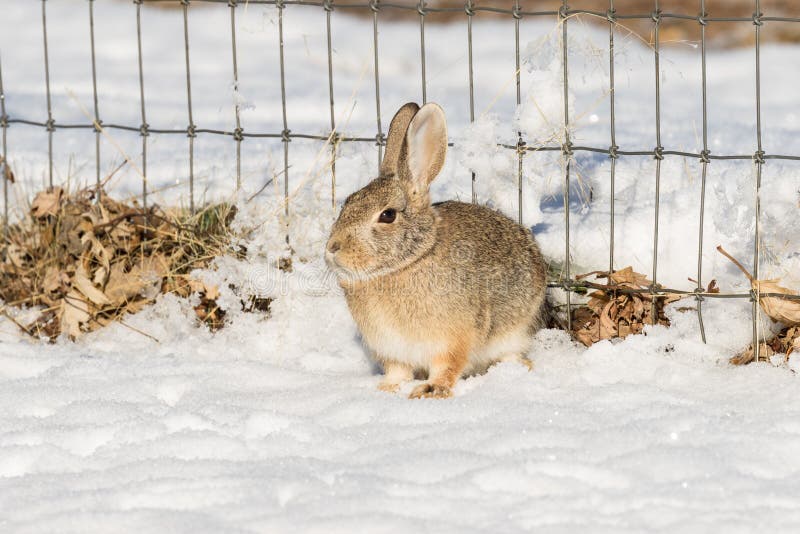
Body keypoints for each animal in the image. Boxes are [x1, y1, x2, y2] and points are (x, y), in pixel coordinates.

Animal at [325, 102, 547, 399]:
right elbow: (398, 371)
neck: (408, 261)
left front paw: (430, 390)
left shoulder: (453, 340)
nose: (332, 247)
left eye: (387, 215)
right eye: (347, 203)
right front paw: (387, 389)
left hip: (513, 331)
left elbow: (447, 367)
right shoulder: (391, 349)